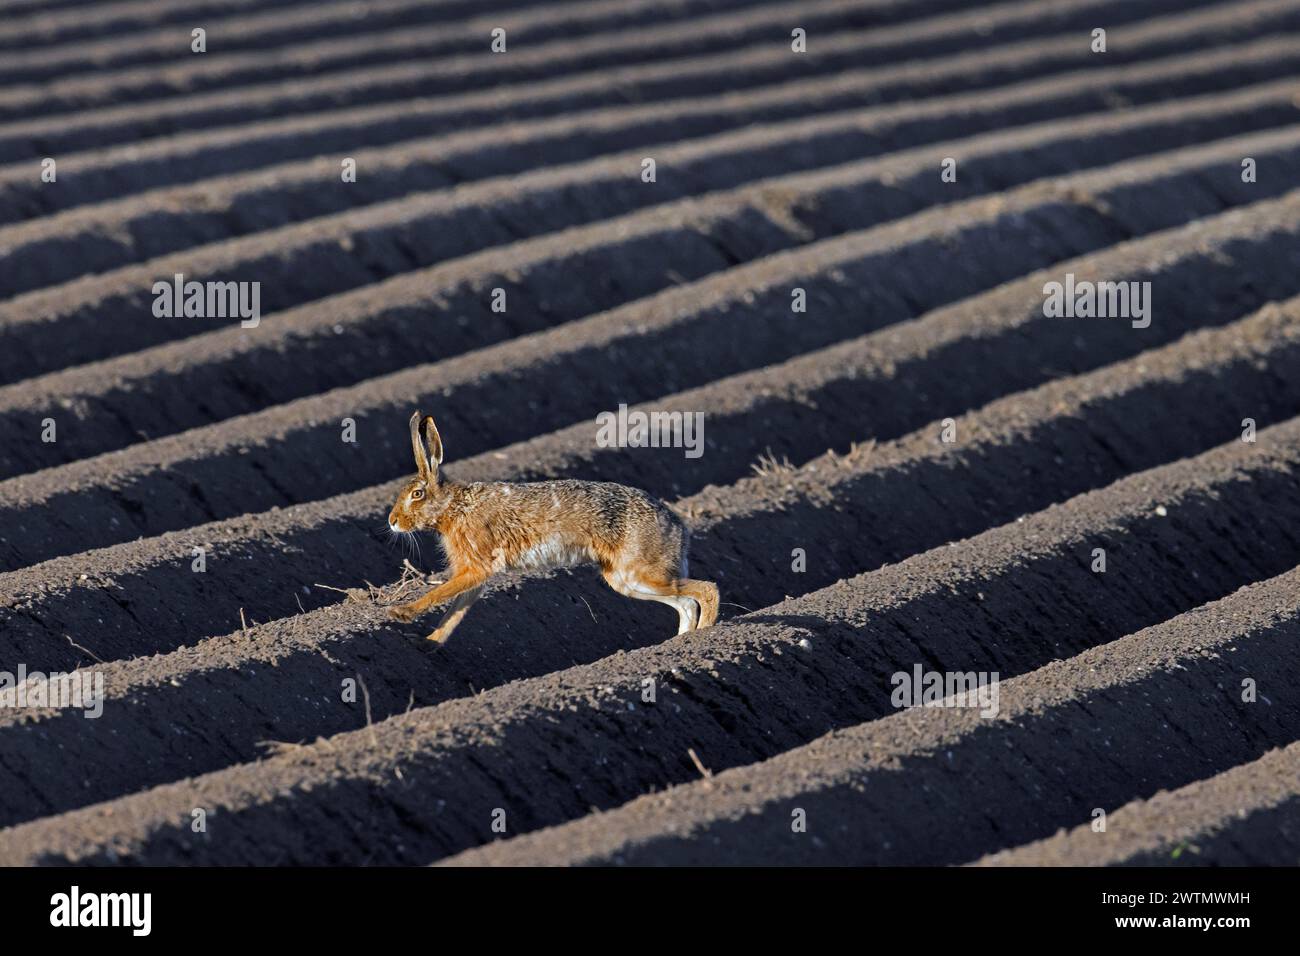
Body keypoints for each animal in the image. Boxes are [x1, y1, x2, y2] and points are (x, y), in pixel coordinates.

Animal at [387, 410, 720, 645]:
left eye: (417, 494)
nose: (392, 521)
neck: (453, 507)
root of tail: (679, 528)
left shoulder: (476, 566)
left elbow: (439, 594)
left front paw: (400, 613)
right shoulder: (475, 576)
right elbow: (455, 612)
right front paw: (429, 642)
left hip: (641, 571)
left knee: (706, 590)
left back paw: (704, 636)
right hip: (625, 579)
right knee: (685, 602)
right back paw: (680, 642)